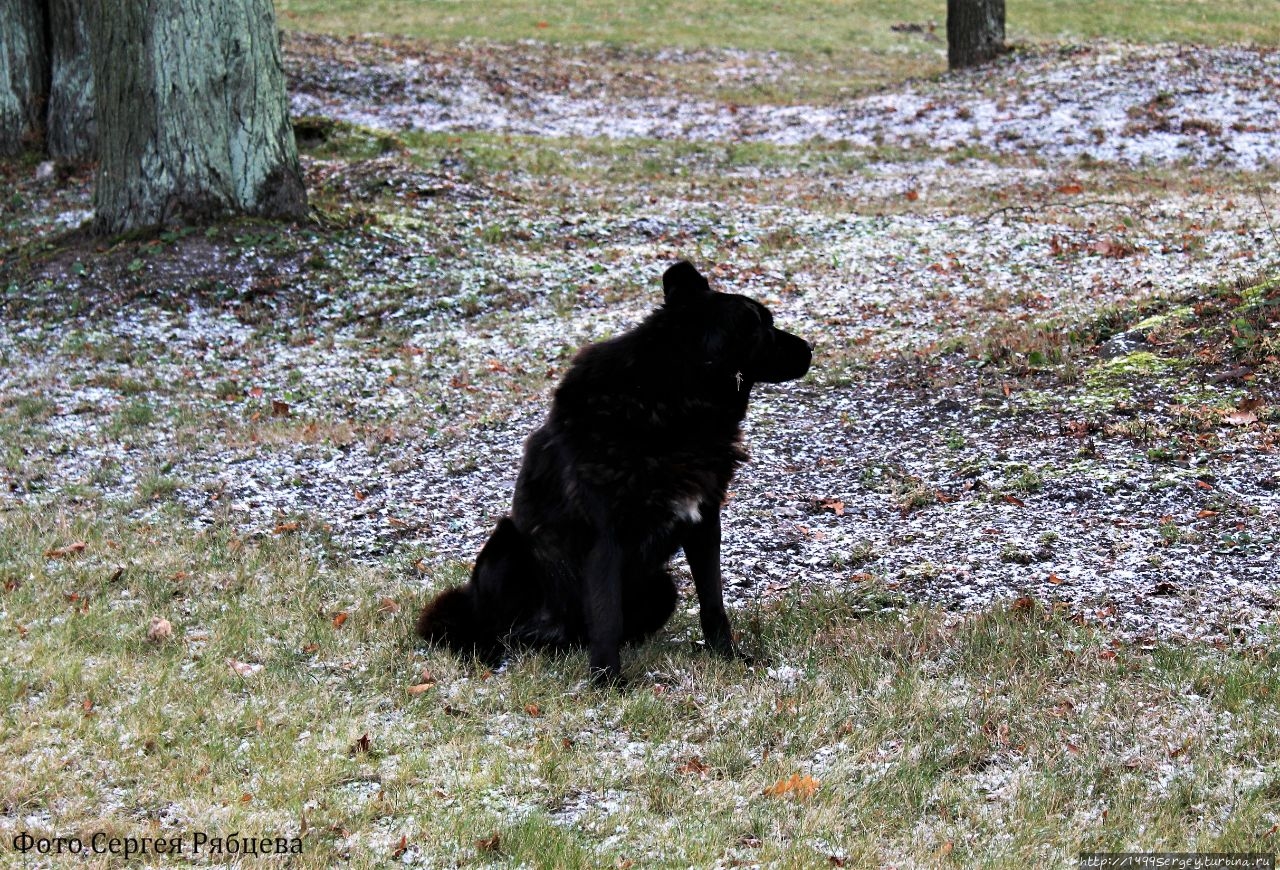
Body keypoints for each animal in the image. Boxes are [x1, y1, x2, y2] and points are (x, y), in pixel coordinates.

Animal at [424, 262, 814, 680]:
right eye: (762, 327)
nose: (810, 348)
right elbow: (606, 616)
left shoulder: (704, 524)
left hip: (661, 586)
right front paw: (609, 683)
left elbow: (712, 603)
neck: (671, 401)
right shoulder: (604, 539)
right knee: (486, 629)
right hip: (508, 548)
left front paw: (726, 656)